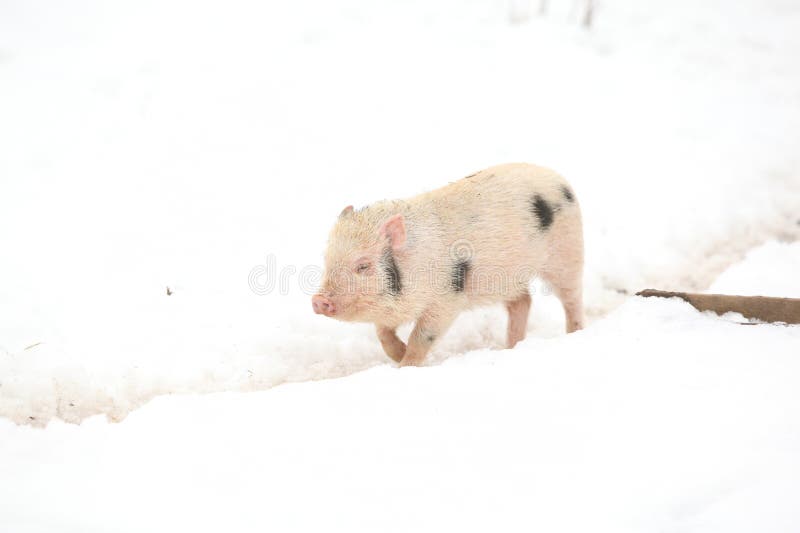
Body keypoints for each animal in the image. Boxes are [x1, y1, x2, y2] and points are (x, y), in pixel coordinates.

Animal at [312, 163, 584, 366]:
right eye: (327, 260)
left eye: (363, 265)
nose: (318, 300)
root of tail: (557, 177)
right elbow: (382, 334)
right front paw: (398, 355)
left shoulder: (446, 300)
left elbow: (421, 337)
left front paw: (404, 365)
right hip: (508, 278)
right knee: (522, 301)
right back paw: (510, 347)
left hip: (567, 252)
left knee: (571, 298)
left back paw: (574, 333)